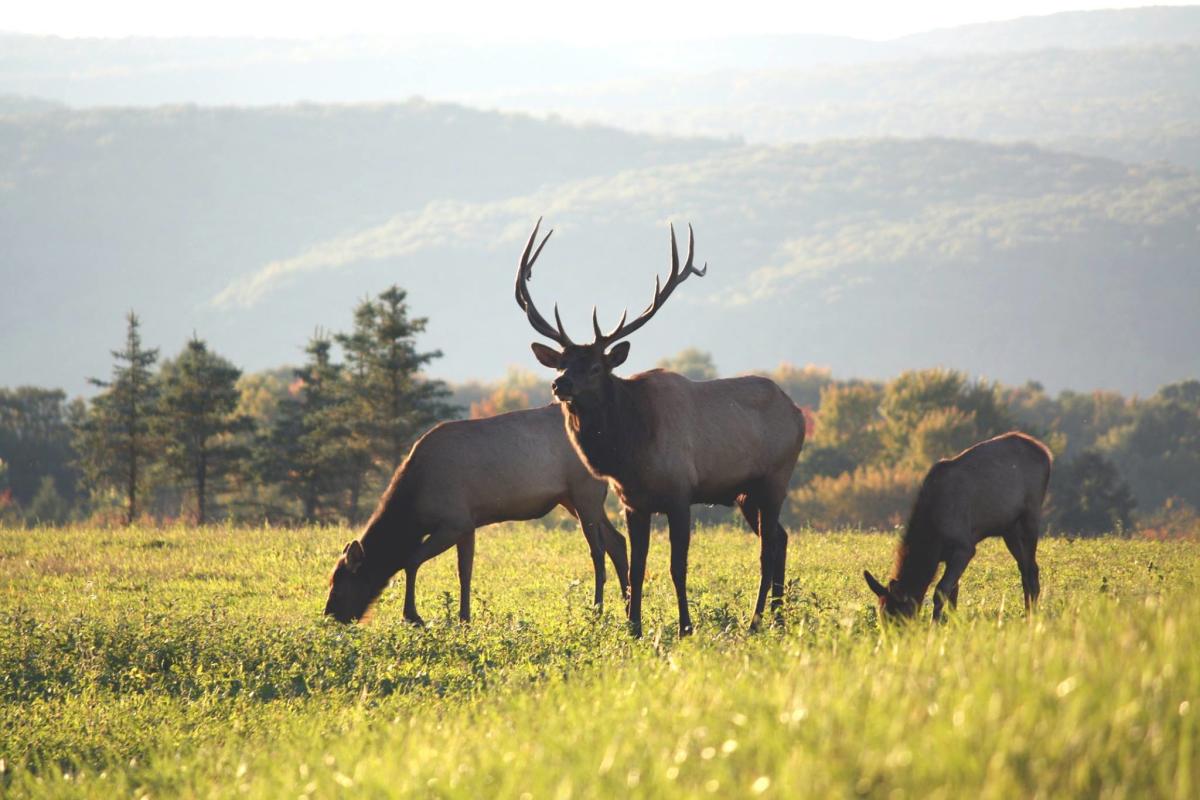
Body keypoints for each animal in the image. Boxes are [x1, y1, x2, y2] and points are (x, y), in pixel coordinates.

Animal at [323, 404, 630, 624]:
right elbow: (465, 572)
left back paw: (598, 609)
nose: (329, 617)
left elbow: (410, 560)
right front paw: (464, 618)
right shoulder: (467, 525)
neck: (414, 507)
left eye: (338, 585)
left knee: (598, 550)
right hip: (573, 499)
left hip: (585, 491)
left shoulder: (453, 521)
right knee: (617, 541)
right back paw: (628, 607)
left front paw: (413, 616)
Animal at [514, 219, 806, 637]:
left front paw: (685, 627)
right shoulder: (632, 503)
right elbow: (637, 569)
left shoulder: (680, 494)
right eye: (561, 363)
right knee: (780, 538)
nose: (559, 385)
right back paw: (778, 618)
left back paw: (755, 621)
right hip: (745, 493)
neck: (631, 453)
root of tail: (798, 412)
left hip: (775, 478)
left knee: (768, 548)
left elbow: (676, 568)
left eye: (596, 367)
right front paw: (633, 627)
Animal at [863, 432, 1052, 621]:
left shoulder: (964, 547)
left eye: (898, 617)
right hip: (1009, 530)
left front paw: (935, 623)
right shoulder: (949, 556)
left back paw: (1032, 616)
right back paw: (1028, 612)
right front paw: (953, 622)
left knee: (1032, 569)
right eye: (882, 616)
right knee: (1024, 569)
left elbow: (941, 590)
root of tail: (1046, 453)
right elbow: (954, 592)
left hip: (1030, 516)